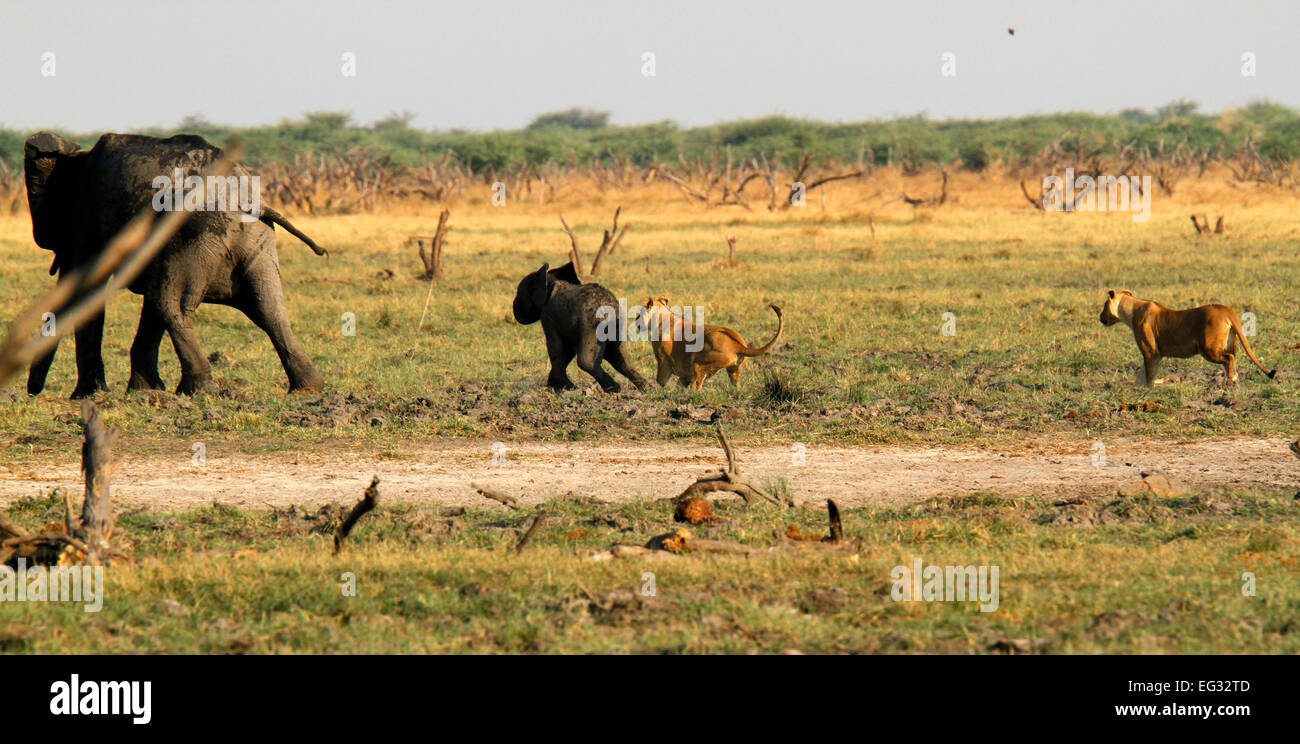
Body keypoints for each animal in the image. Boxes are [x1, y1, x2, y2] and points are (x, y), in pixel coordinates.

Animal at [23, 131, 326, 397]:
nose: (33, 390)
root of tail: (248, 200)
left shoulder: (87, 219)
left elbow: (91, 291)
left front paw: (89, 396)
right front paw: (143, 392)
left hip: (190, 236)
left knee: (170, 303)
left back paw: (199, 390)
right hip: (254, 240)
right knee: (268, 307)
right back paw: (307, 388)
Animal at [512, 261, 647, 393]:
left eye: (519, 292)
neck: (549, 280)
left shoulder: (548, 315)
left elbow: (556, 347)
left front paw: (563, 388)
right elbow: (568, 351)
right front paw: (561, 387)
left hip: (591, 325)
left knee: (586, 361)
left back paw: (614, 389)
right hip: (617, 327)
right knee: (620, 359)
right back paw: (644, 387)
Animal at [639, 297, 783, 389]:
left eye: (639, 313)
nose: (636, 321)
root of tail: (739, 345)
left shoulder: (663, 360)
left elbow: (661, 381)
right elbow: (680, 383)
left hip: (698, 362)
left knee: (697, 386)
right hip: (733, 371)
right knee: (736, 386)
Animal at [1099, 289, 1276, 386]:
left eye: (1104, 306)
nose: (1100, 318)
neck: (1131, 310)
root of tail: (1226, 310)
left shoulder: (1150, 352)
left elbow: (1148, 375)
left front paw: (1147, 390)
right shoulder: (1155, 355)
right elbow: (1145, 374)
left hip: (1208, 349)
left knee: (1228, 358)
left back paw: (1231, 380)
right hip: (1229, 344)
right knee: (1231, 359)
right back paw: (1230, 382)